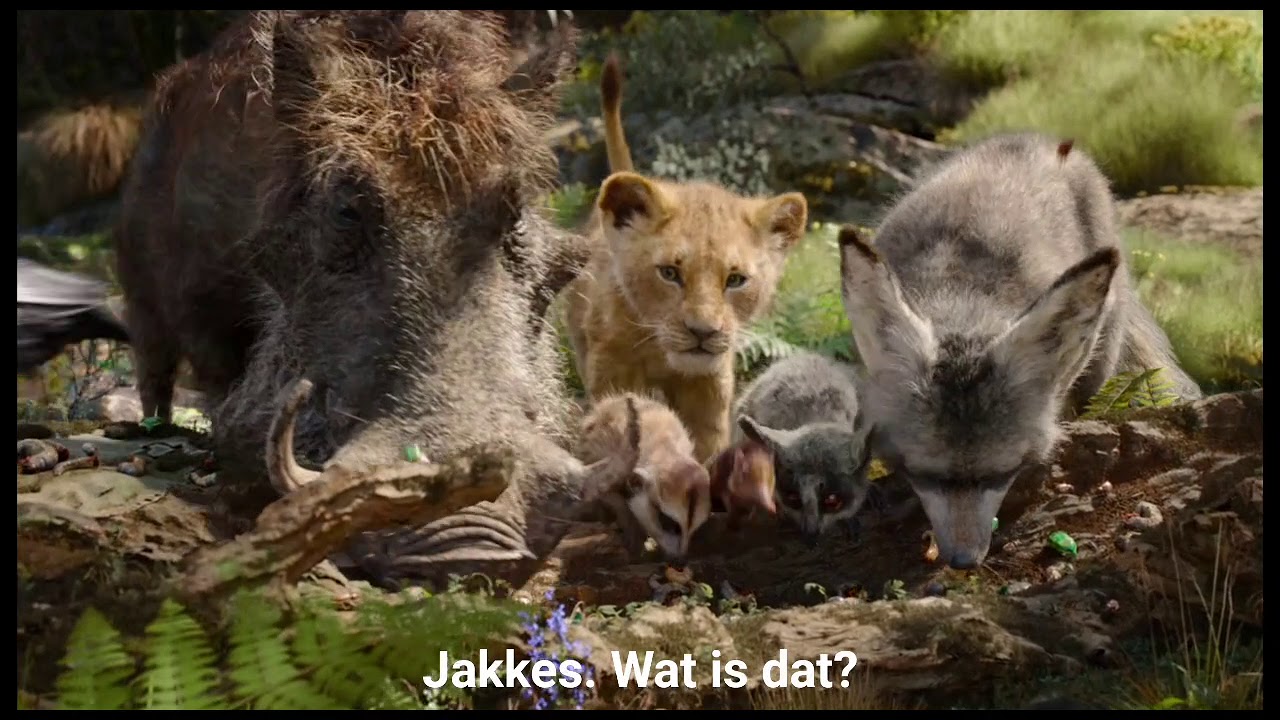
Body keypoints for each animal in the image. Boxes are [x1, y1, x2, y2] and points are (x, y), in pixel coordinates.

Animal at [562, 54, 809, 464]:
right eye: (669, 273)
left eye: (736, 280)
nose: (703, 332)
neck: (660, 351)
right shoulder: (611, 367)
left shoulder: (710, 382)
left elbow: (708, 447)